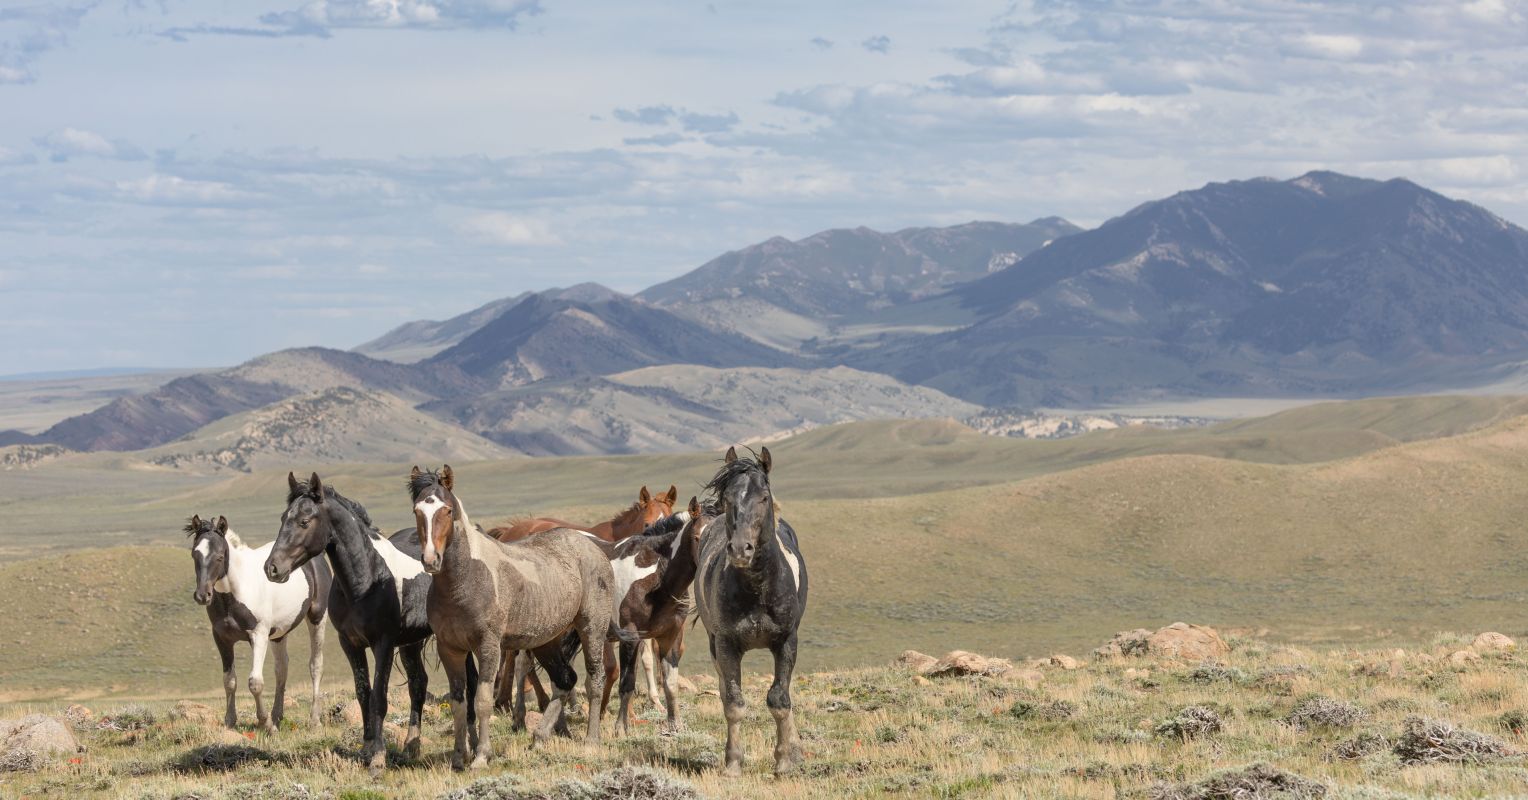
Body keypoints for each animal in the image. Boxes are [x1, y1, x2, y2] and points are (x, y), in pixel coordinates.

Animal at [186, 514, 330, 732]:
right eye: (195, 555)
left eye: (219, 556)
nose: (203, 595)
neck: (235, 593)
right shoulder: (222, 639)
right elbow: (229, 681)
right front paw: (230, 721)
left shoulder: (259, 635)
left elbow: (255, 683)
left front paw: (265, 723)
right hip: (279, 634)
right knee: (281, 669)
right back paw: (278, 716)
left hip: (317, 618)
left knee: (316, 665)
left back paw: (314, 720)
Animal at [264, 472, 437, 775]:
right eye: (284, 517)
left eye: (304, 521)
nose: (272, 568)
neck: (365, 580)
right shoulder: (350, 643)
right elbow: (362, 693)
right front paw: (366, 748)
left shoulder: (383, 644)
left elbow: (379, 697)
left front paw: (378, 757)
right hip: (411, 643)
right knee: (418, 684)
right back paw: (411, 746)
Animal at [409, 465, 632, 769]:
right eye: (417, 511)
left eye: (447, 510)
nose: (431, 560)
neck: (465, 580)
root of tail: (594, 549)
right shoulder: (450, 649)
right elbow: (458, 704)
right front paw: (457, 758)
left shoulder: (488, 646)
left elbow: (482, 701)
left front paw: (481, 756)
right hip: (546, 641)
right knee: (566, 680)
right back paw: (539, 738)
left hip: (591, 629)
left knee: (595, 679)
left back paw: (590, 741)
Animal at [694, 446, 809, 776]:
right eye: (729, 498)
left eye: (764, 497)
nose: (740, 549)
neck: (758, 588)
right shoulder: (726, 644)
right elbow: (733, 702)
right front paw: (733, 763)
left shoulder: (787, 641)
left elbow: (780, 698)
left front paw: (784, 760)